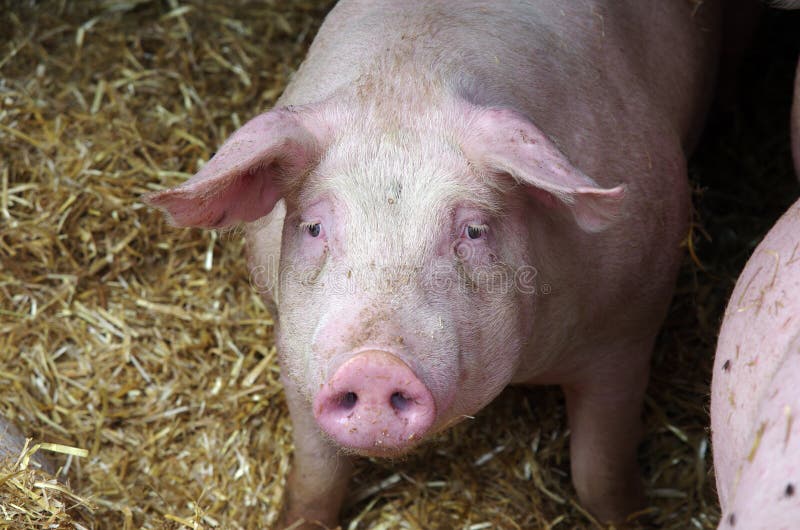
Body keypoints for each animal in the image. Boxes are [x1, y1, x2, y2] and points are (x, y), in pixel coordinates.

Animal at [144, 1, 721, 527]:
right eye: (313, 227)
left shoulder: (628, 331)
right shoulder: (294, 344)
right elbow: (314, 475)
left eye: (473, 230)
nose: (374, 363)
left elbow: (600, 478)